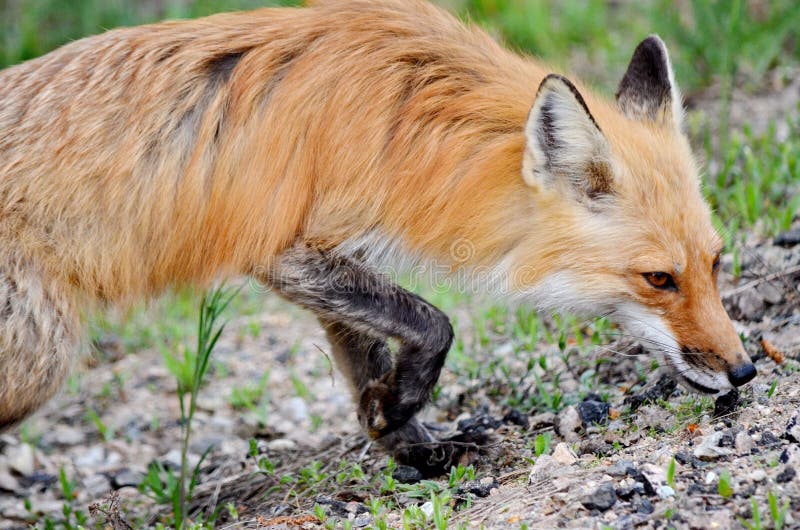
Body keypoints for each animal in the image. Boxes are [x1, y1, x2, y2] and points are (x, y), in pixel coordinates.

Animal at [0, 0, 755, 475]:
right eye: (659, 279)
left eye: (717, 264)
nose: (745, 371)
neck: (413, 112)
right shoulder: (289, 253)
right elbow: (435, 321)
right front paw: (401, 413)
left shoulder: (339, 255)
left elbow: (369, 355)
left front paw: (403, 438)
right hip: (38, 360)